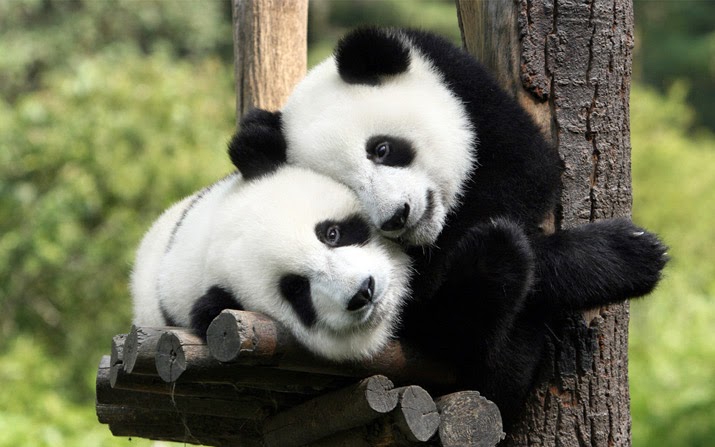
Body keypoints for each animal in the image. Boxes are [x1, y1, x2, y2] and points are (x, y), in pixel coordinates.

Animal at [228, 27, 668, 423]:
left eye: (382, 149)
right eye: (348, 188)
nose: (397, 216)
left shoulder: (467, 90)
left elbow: (527, 170)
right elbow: (432, 300)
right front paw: (625, 256)